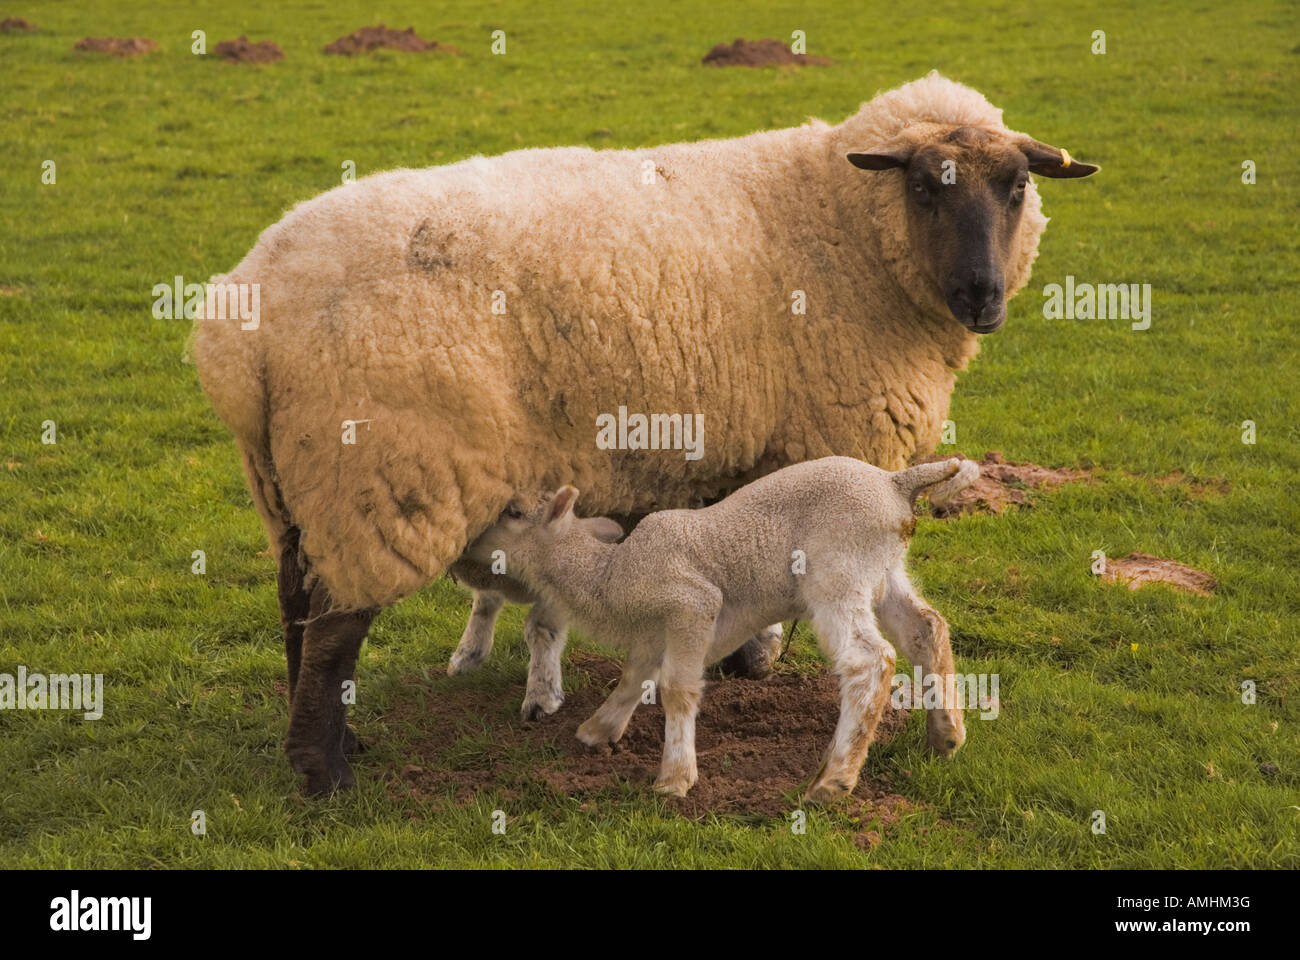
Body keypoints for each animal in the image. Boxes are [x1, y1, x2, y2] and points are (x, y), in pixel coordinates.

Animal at [467, 455, 981, 801]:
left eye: (514, 513)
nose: (470, 542)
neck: (610, 571)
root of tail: (895, 481)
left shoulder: (692, 605)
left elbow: (677, 688)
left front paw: (674, 779)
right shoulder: (656, 629)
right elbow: (635, 676)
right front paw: (599, 730)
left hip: (838, 569)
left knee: (869, 661)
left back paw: (832, 780)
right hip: (883, 568)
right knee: (926, 629)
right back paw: (946, 737)